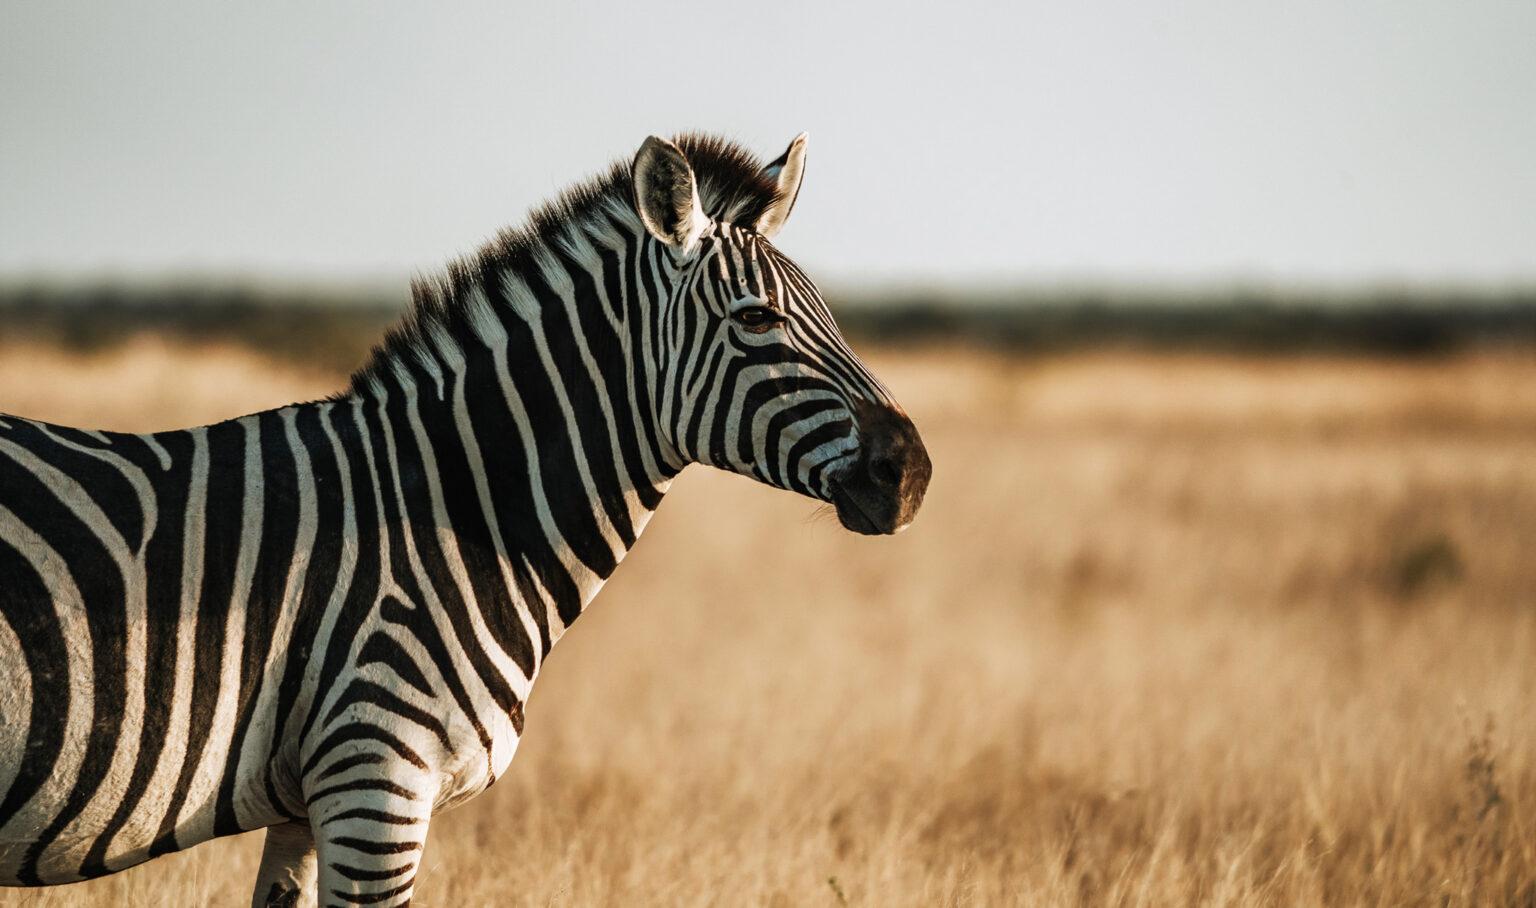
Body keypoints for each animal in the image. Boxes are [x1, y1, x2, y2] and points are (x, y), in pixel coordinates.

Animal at [0, 132, 931, 906]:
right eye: (757, 320)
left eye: (829, 311)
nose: (912, 474)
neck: (450, 507)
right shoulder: (376, 784)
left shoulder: (307, 803)